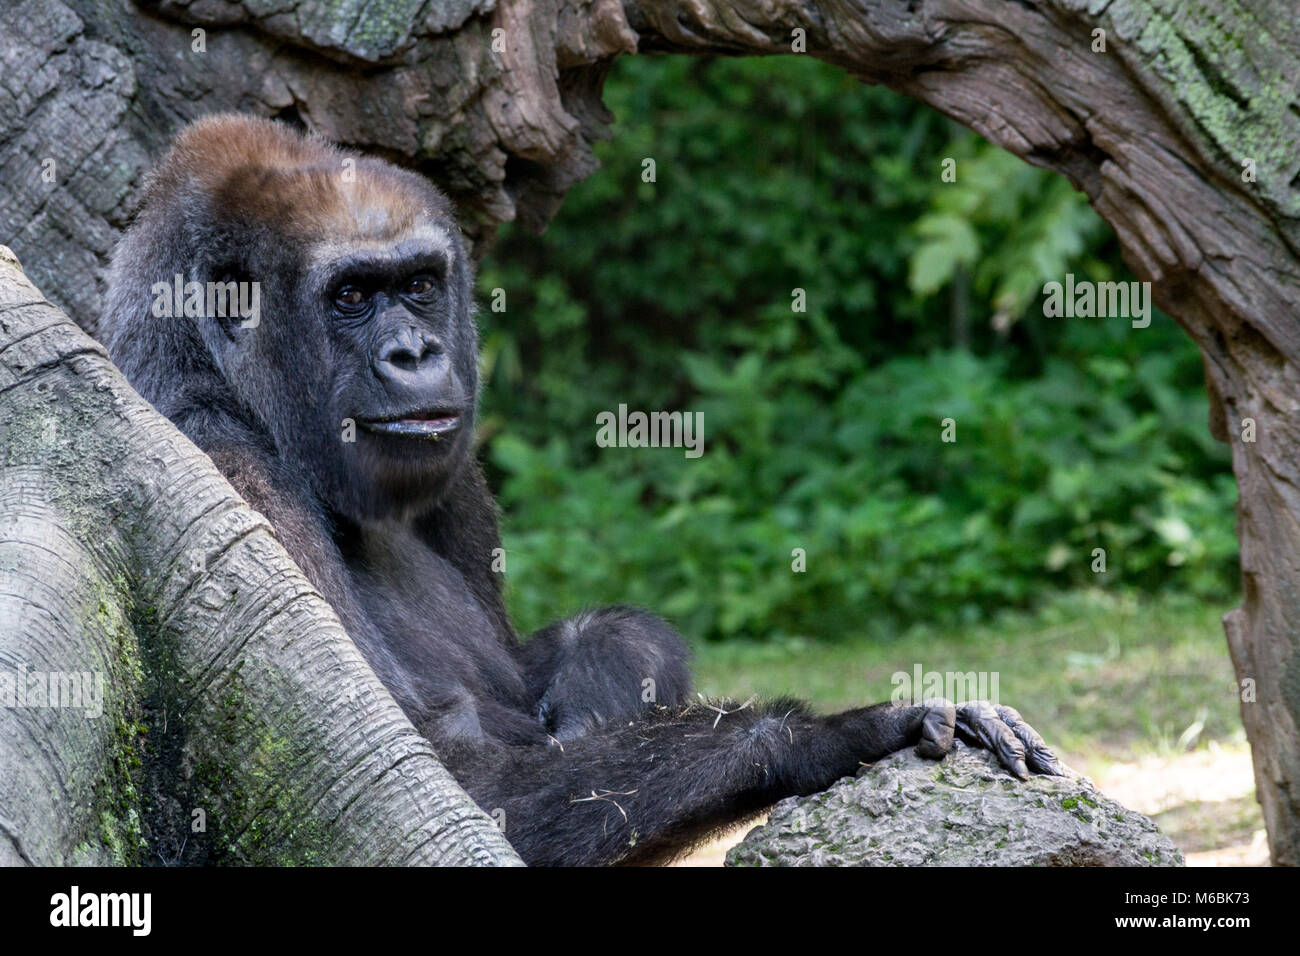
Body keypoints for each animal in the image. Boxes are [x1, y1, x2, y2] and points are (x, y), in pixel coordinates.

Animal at [99, 114, 1060, 866]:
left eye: (418, 284)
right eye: (351, 297)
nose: (415, 354)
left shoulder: (459, 474)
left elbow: (552, 658)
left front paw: (611, 663)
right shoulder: (221, 463)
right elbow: (453, 782)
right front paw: (833, 735)